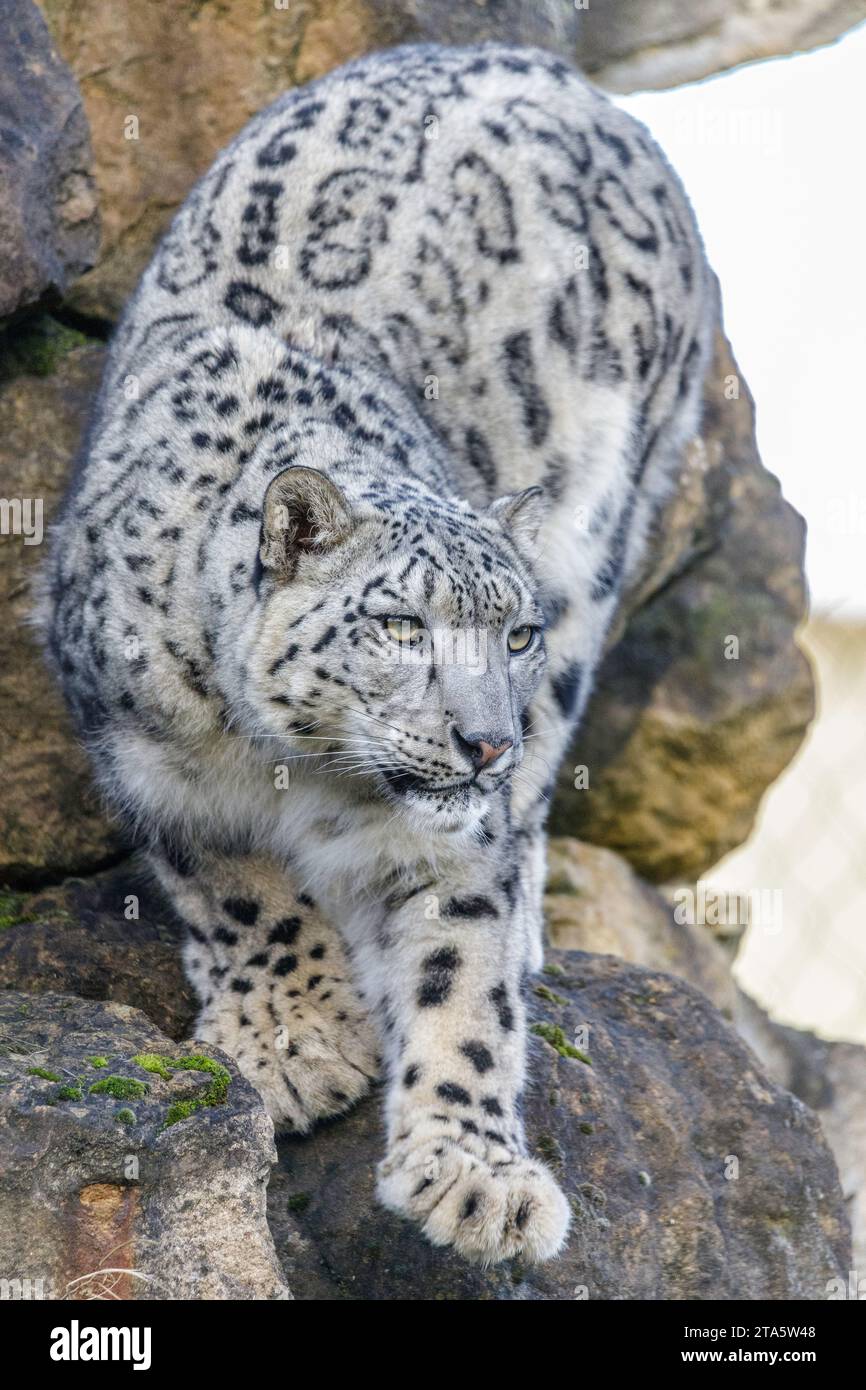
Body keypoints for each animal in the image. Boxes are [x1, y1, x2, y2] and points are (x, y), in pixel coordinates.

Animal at [40, 42, 714, 1266]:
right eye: (401, 625)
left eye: (512, 632)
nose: (483, 741)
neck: (300, 769)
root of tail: (562, 72)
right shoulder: (147, 758)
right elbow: (239, 886)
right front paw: (299, 1037)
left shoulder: (459, 839)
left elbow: (463, 980)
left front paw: (475, 1174)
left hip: (606, 525)